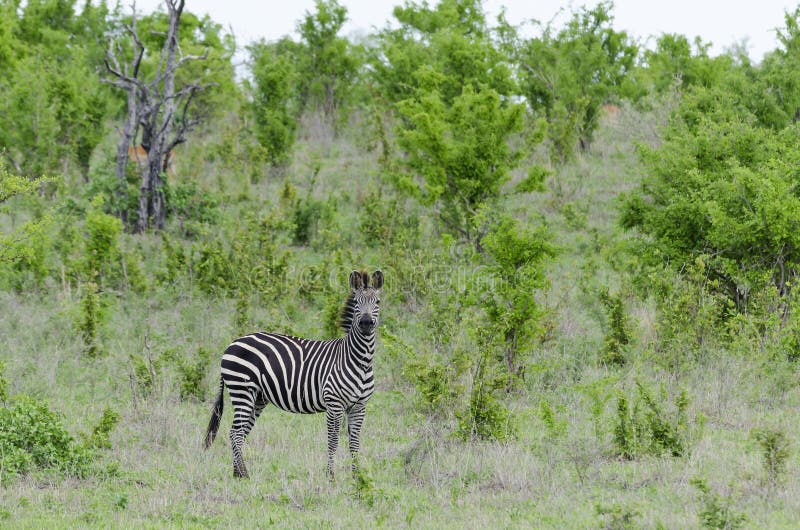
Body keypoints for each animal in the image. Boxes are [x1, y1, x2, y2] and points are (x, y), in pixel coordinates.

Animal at [204, 269, 383, 479]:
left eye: (377, 302)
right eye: (356, 302)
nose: (366, 323)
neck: (360, 361)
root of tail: (232, 343)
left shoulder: (359, 407)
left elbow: (354, 444)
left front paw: (356, 478)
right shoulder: (334, 404)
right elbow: (333, 442)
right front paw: (330, 476)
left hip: (258, 398)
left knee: (240, 433)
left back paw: (237, 474)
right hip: (242, 390)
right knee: (236, 433)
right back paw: (244, 475)